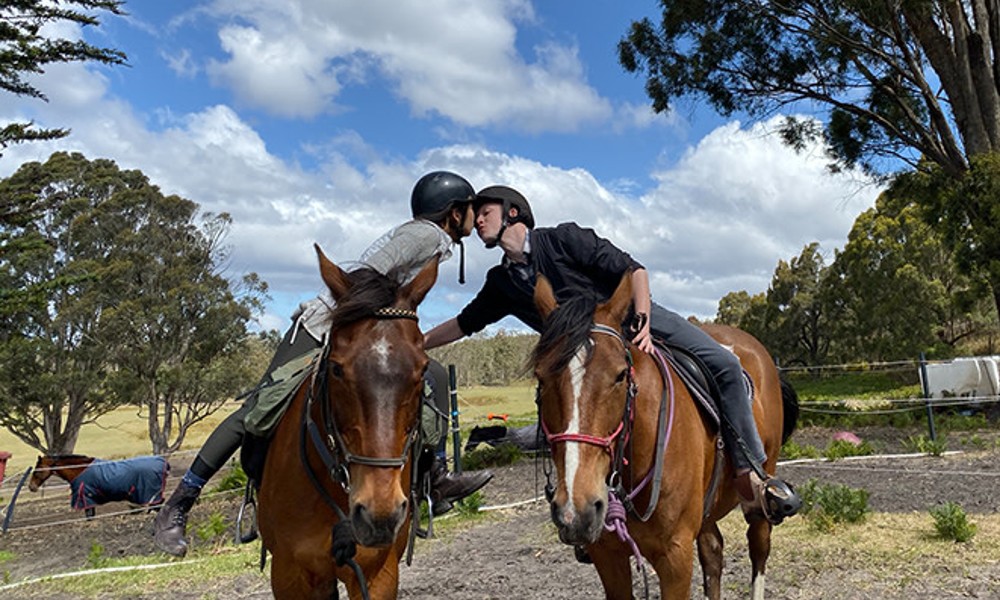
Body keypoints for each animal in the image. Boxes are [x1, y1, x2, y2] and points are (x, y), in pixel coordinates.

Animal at [29, 454, 169, 519]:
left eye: (37, 471)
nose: (31, 487)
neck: (79, 470)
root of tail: (163, 462)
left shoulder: (86, 499)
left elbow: (89, 516)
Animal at [531, 273, 797, 600]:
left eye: (620, 375)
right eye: (541, 378)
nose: (576, 511)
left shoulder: (675, 557)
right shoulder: (607, 556)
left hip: (761, 489)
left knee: (758, 546)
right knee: (713, 552)